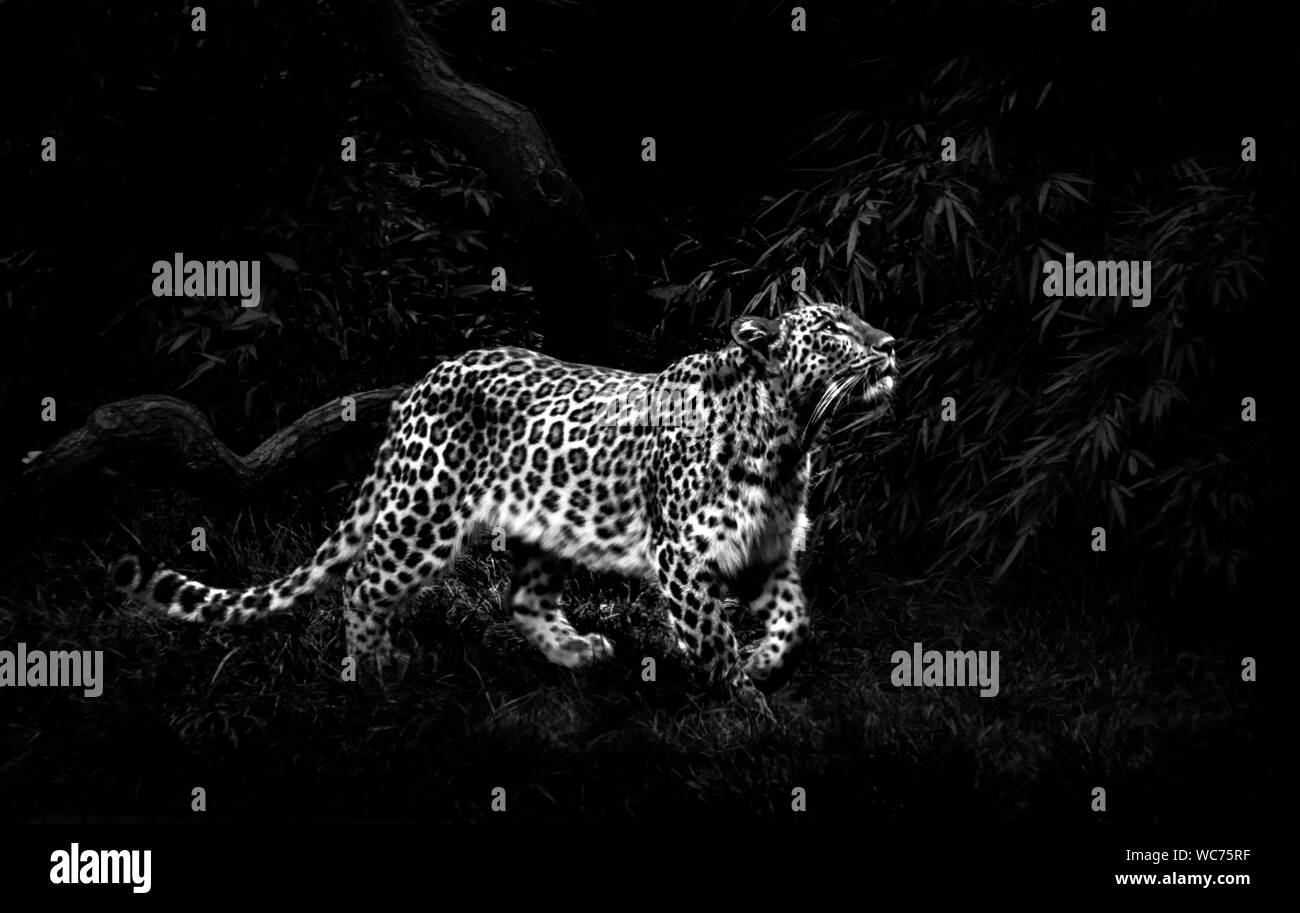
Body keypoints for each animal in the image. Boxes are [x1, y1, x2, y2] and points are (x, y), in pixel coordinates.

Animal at [109, 299, 897, 705]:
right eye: (833, 330)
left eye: (857, 319)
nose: (891, 343)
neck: (787, 437)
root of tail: (421, 384)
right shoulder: (684, 557)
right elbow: (709, 637)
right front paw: (746, 703)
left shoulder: (772, 549)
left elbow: (796, 616)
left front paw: (765, 661)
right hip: (422, 512)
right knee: (363, 579)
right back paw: (374, 669)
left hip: (546, 523)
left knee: (518, 597)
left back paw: (577, 650)